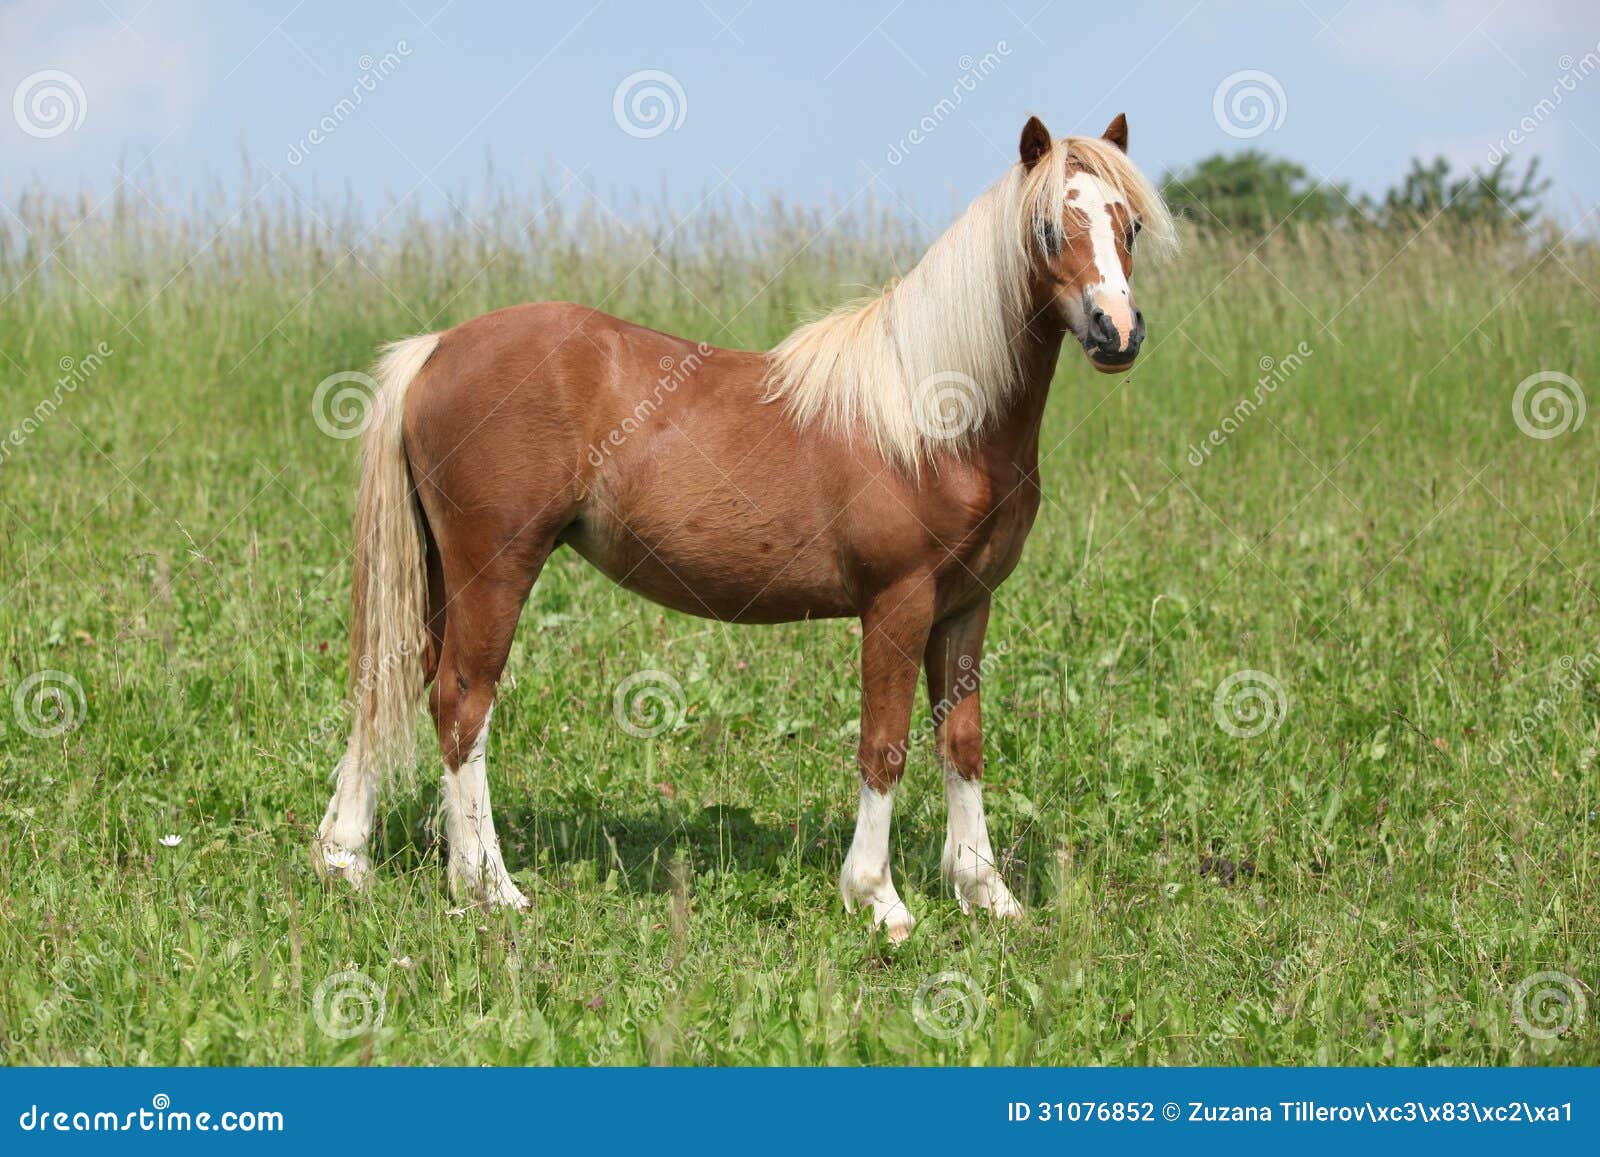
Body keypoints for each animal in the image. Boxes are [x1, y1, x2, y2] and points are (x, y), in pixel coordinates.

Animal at [314, 114, 1177, 940]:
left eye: (1129, 224)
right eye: (1048, 229)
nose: (1118, 332)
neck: (933, 415)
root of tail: (435, 350)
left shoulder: (966, 606)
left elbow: (960, 744)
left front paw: (986, 894)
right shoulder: (897, 604)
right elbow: (885, 745)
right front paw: (879, 898)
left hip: (442, 572)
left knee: (397, 678)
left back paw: (348, 857)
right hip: (496, 566)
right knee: (463, 702)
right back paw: (491, 887)